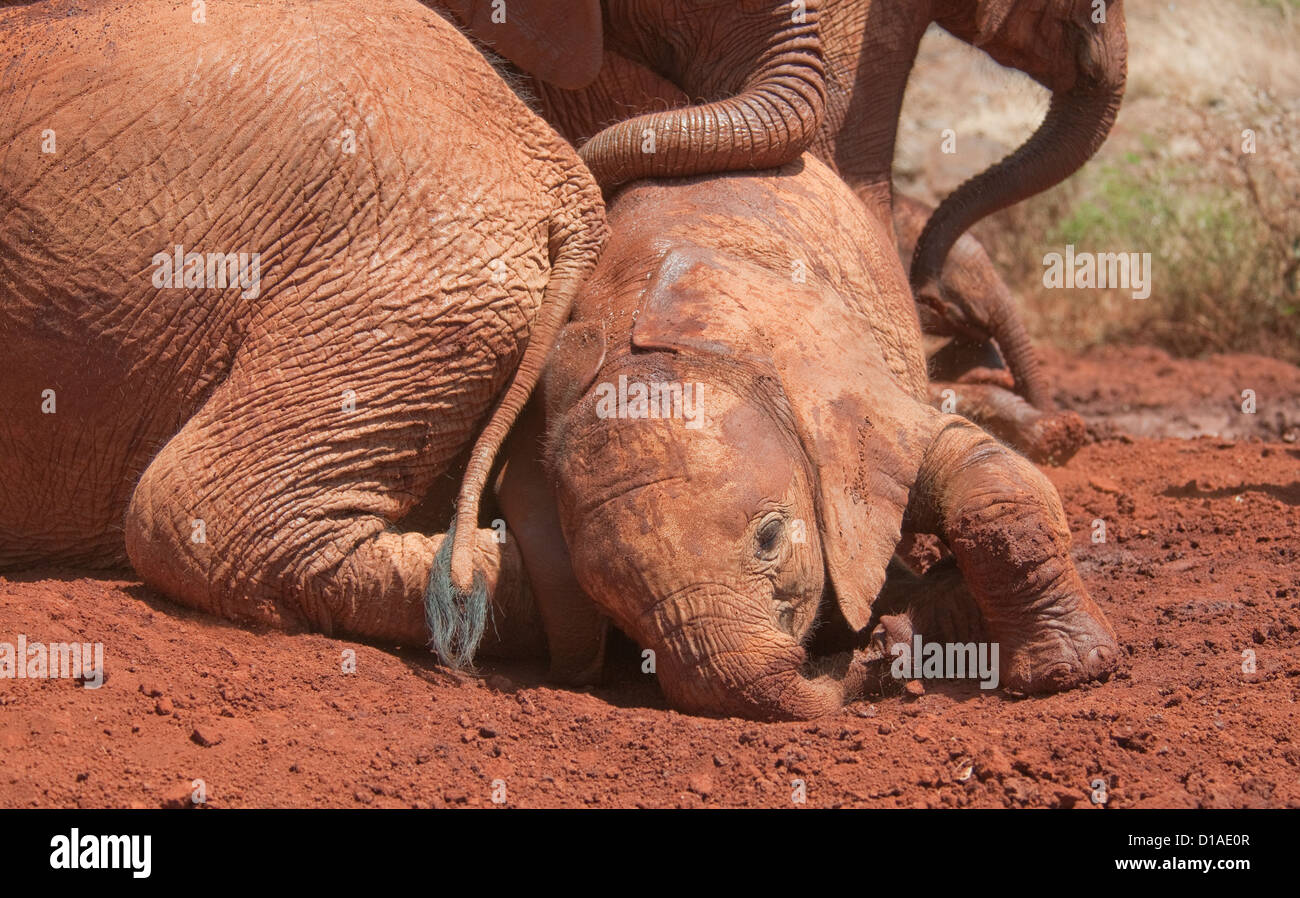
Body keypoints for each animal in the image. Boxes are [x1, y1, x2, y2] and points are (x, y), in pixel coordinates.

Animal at [535, 155, 1118, 719]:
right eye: (607, 603)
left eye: (770, 537)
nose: (883, 645)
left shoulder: (840, 388)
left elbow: (964, 466)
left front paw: (1070, 673)